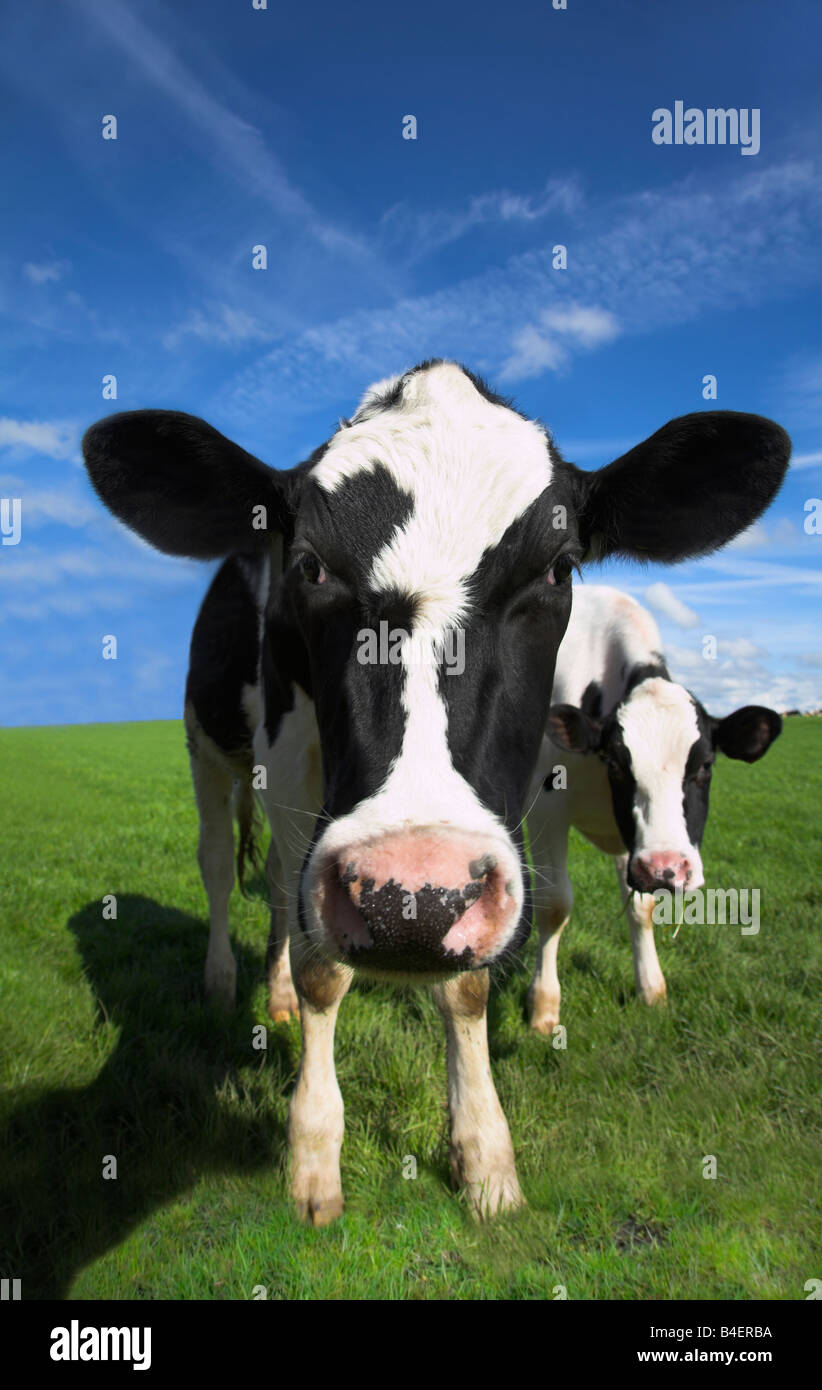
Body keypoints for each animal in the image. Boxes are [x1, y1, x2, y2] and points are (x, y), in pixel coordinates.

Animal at [525, 584, 782, 1035]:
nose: (666, 869)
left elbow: (641, 907)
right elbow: (555, 904)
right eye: (616, 763)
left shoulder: (637, 843)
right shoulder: (546, 809)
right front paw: (543, 1006)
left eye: (705, 765)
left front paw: (651, 988)